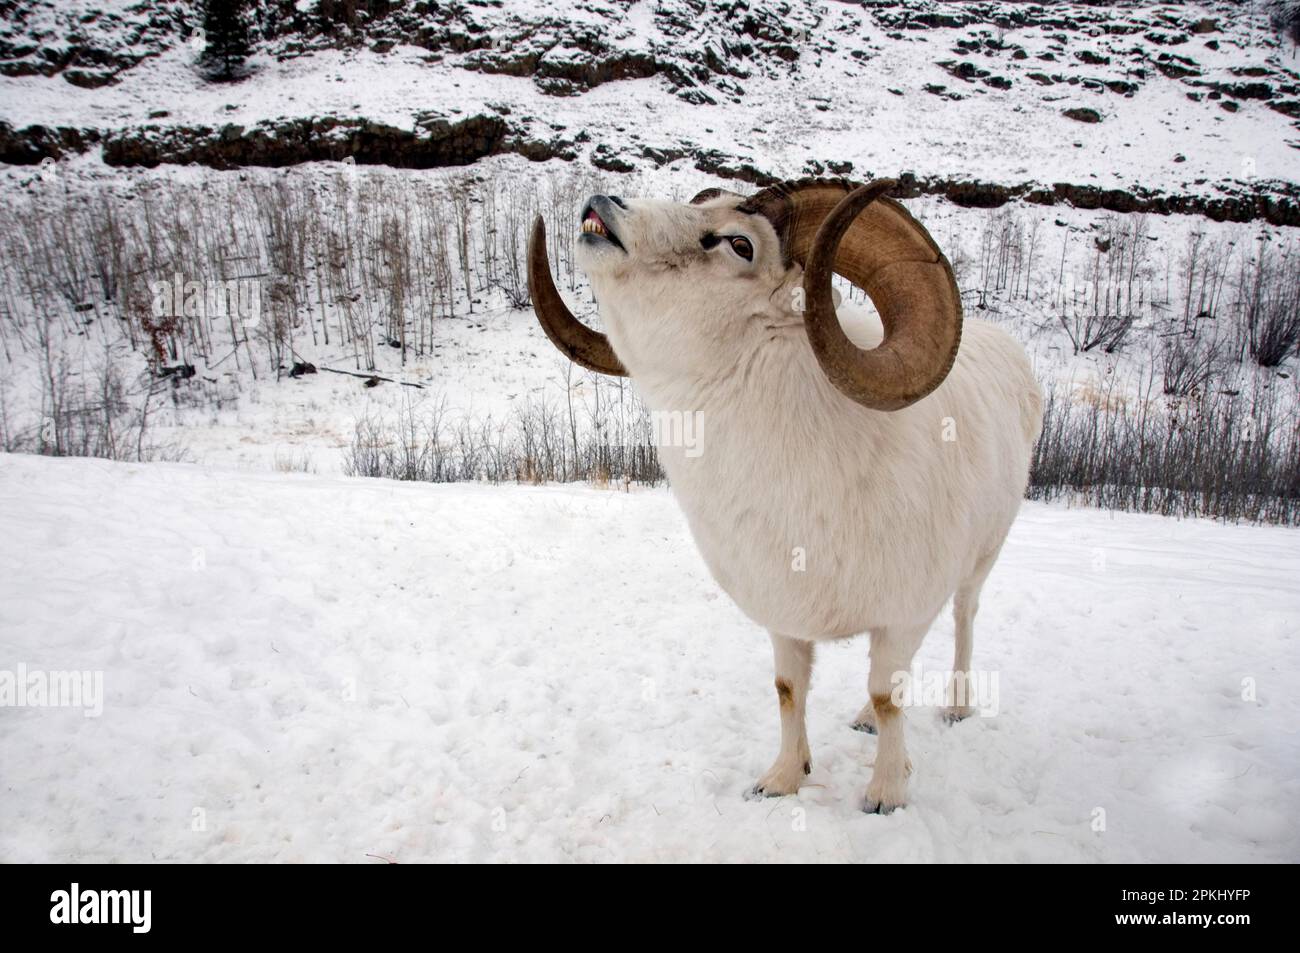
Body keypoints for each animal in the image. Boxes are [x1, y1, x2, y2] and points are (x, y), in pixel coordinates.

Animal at [528, 178, 1043, 812]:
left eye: (739, 244)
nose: (602, 206)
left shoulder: (903, 614)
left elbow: (889, 697)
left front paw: (885, 795)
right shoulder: (786, 619)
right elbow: (789, 690)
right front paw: (780, 781)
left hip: (978, 564)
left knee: (963, 624)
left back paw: (956, 709)